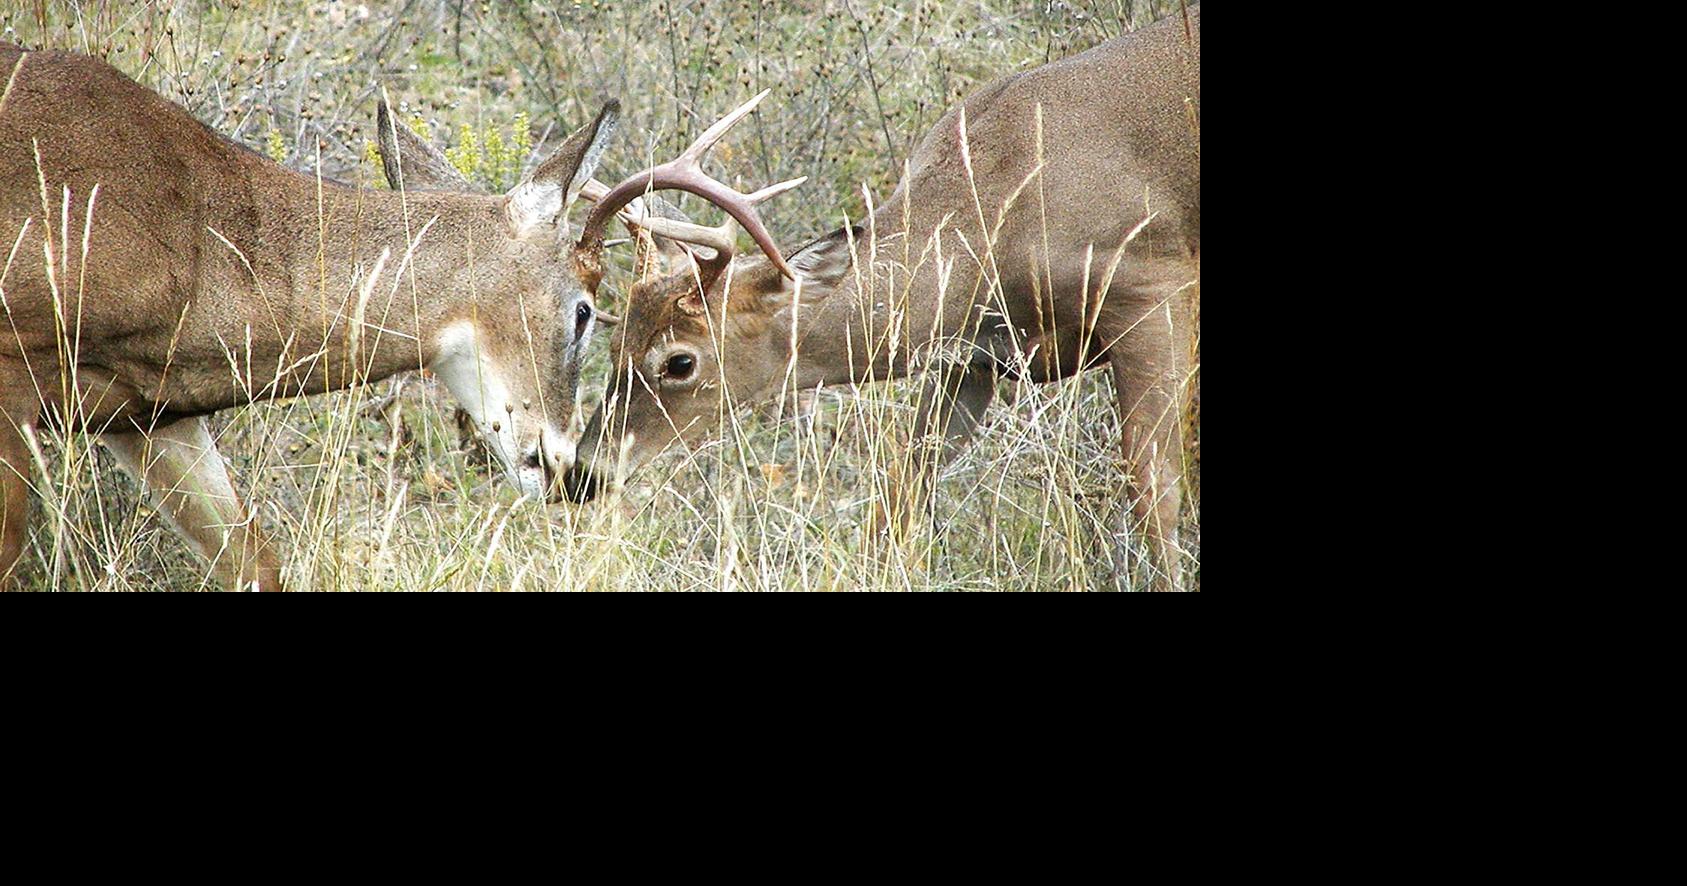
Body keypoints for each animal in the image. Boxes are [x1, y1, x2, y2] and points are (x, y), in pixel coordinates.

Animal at [564, 6, 1199, 589]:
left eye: (680, 362)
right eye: (613, 341)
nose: (581, 473)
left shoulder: (1153, 286)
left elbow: (1155, 491)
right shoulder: (971, 360)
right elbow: (900, 493)